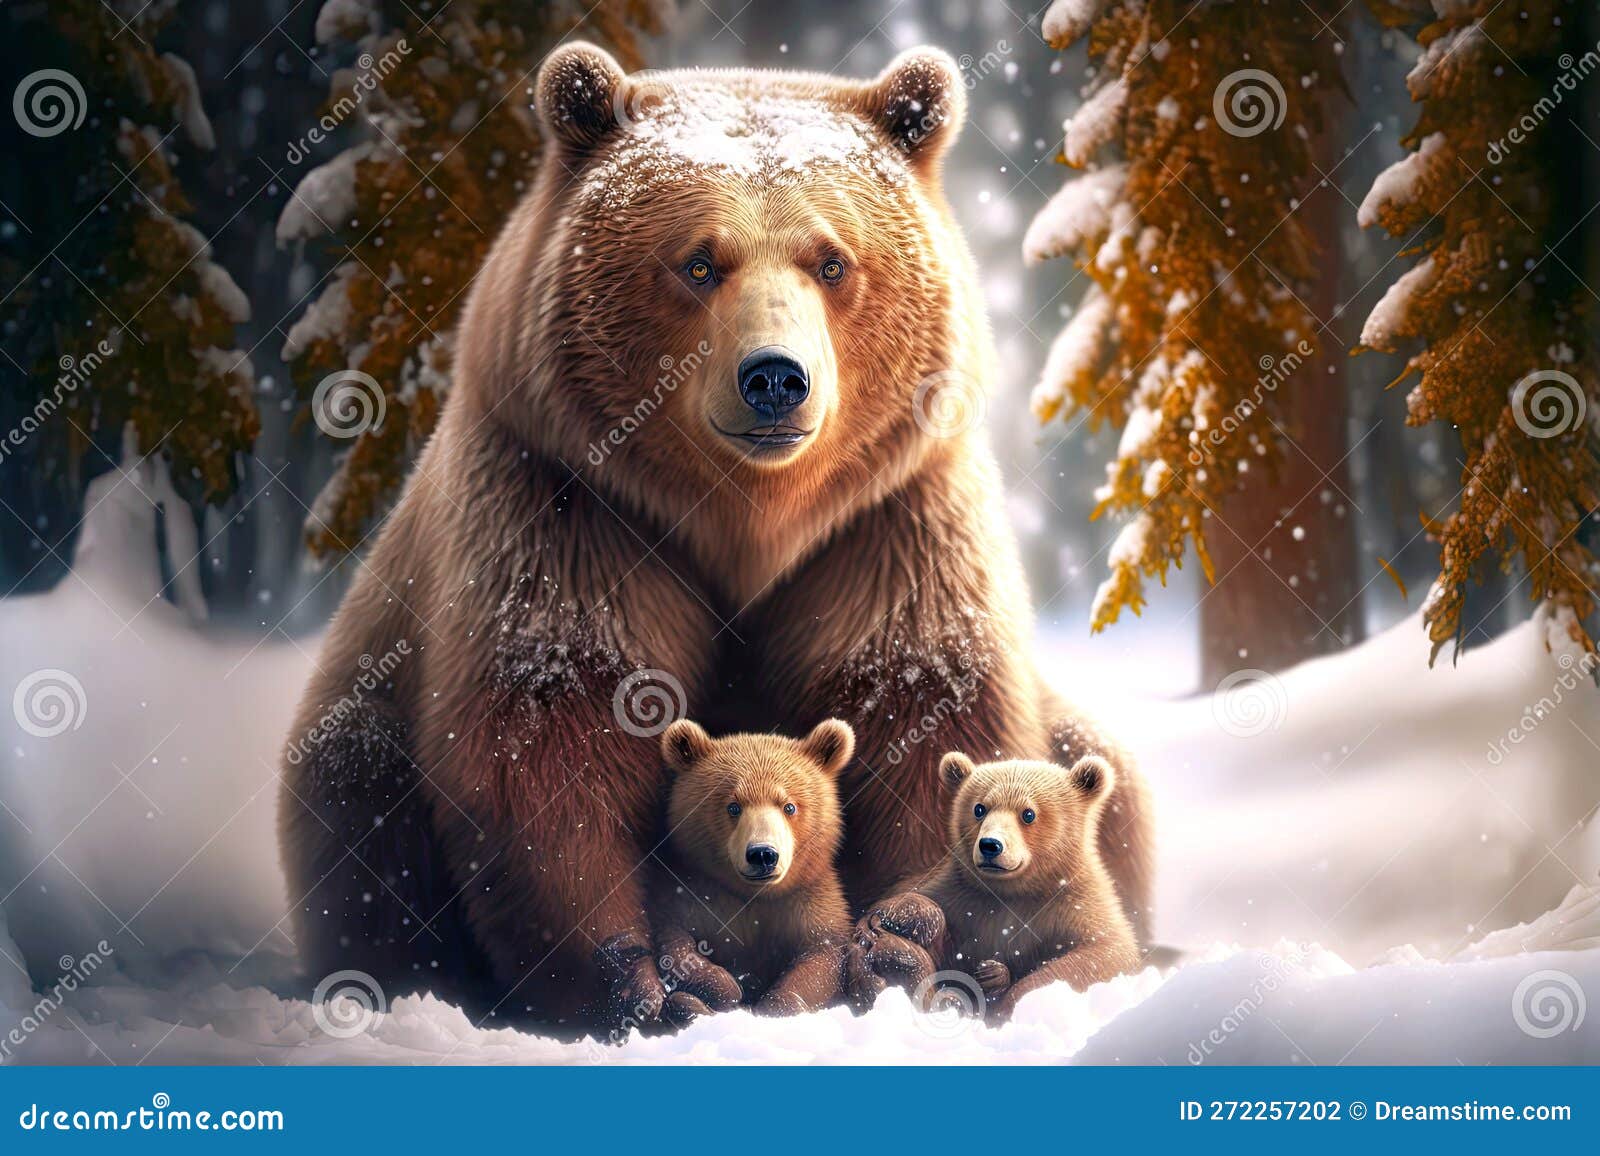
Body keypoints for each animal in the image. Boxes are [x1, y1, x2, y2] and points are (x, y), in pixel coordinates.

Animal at [635, 717, 854, 1025]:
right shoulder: (694, 892)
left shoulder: (809, 900)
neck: (754, 895)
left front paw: (774, 1007)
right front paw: (724, 988)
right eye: (733, 806)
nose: (763, 854)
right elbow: (674, 939)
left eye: (789, 806)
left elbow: (821, 958)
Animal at [847, 752, 1139, 1022]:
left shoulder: (1074, 905)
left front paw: (1011, 999)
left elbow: (1106, 954)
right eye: (979, 808)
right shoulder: (957, 896)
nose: (990, 845)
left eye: (1028, 813)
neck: (1010, 892)